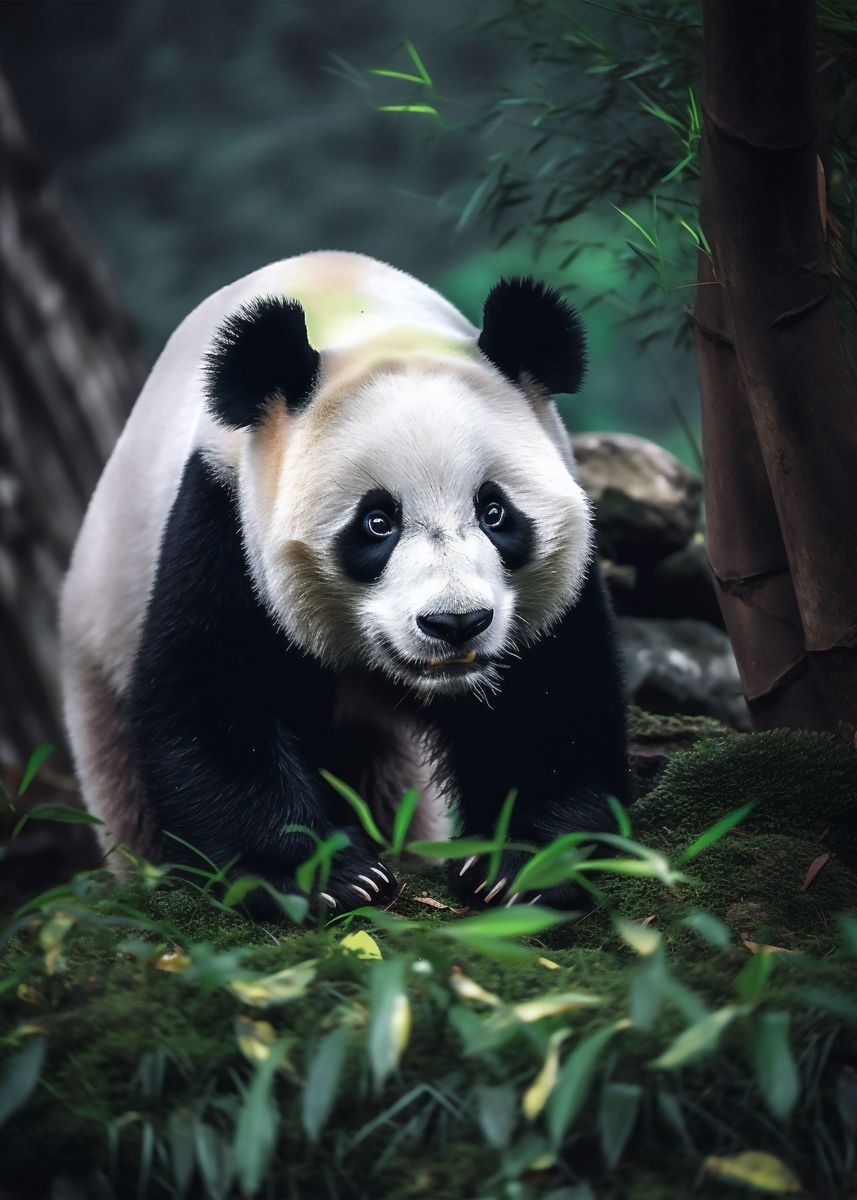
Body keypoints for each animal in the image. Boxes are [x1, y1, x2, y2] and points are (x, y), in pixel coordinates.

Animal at [60, 250, 629, 915]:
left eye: (495, 512)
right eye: (377, 523)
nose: (455, 624)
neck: (365, 318)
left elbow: (554, 703)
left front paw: (519, 866)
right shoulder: (224, 514)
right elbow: (215, 699)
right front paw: (326, 876)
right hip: (101, 633)